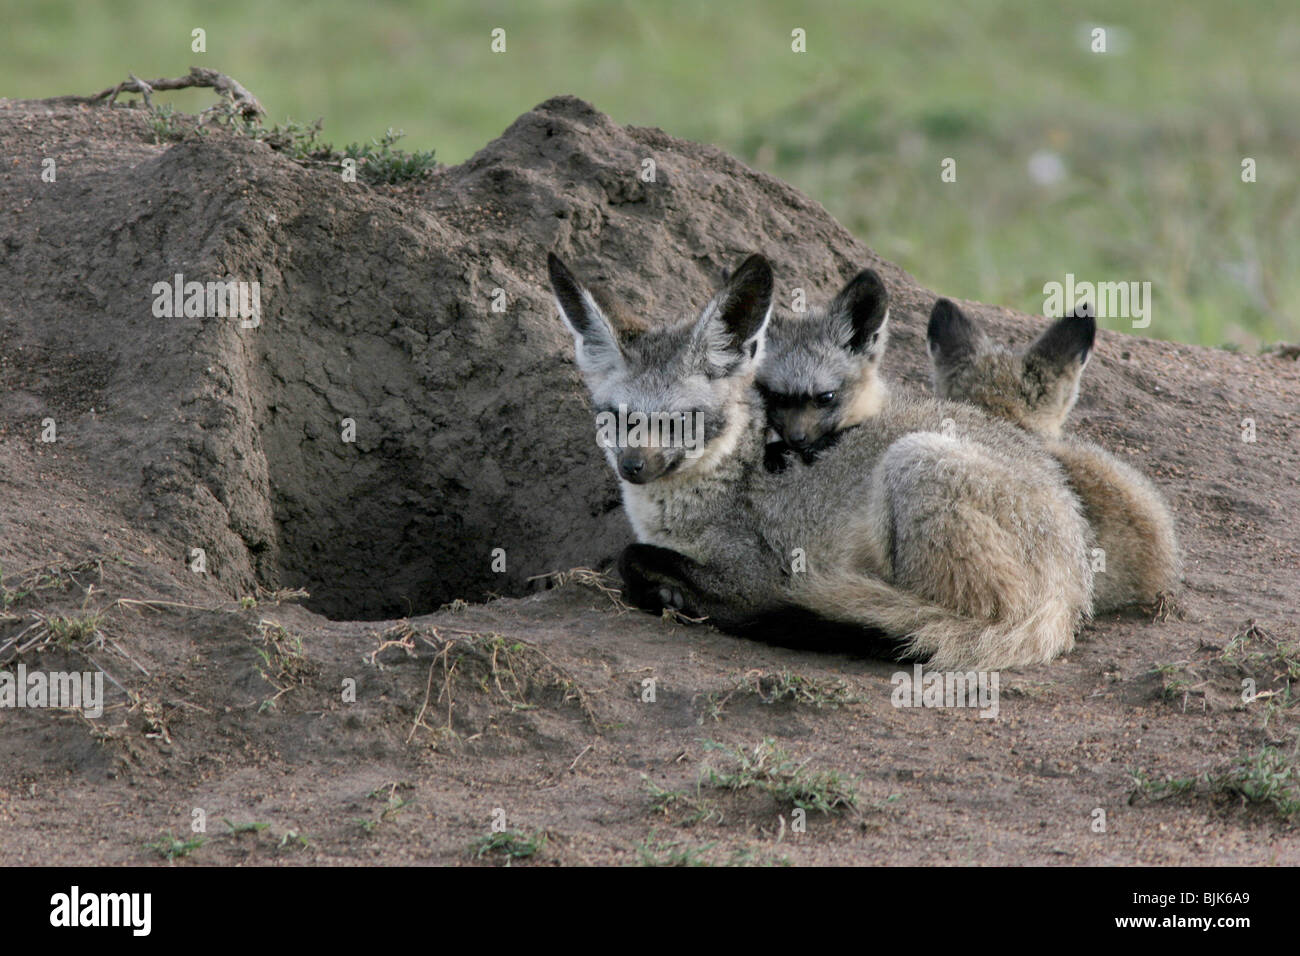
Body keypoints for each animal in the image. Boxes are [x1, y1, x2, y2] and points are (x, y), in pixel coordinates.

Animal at [547, 251, 1094, 669]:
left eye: (683, 420)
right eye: (616, 417)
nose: (632, 468)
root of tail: (1073, 585)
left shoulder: (751, 574)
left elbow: (634, 557)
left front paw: (673, 596)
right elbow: (635, 554)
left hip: (913, 459)